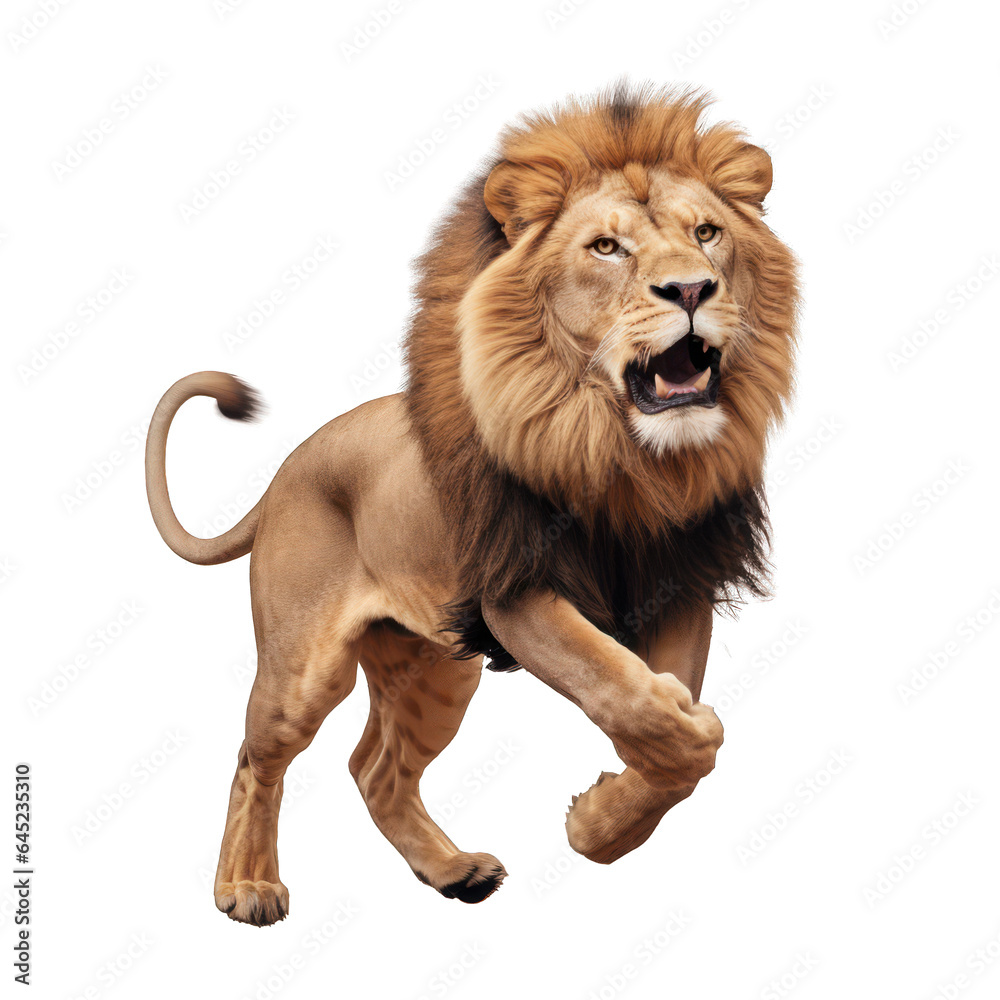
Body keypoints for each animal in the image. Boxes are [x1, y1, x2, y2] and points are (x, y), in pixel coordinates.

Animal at [144, 83, 798, 925]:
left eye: (707, 233)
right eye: (607, 248)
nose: (690, 289)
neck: (622, 454)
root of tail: (286, 469)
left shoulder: (679, 583)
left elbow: (670, 746)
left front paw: (605, 821)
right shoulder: (517, 590)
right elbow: (630, 697)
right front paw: (634, 773)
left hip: (435, 667)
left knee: (375, 768)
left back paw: (455, 872)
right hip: (303, 667)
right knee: (256, 757)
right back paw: (247, 887)